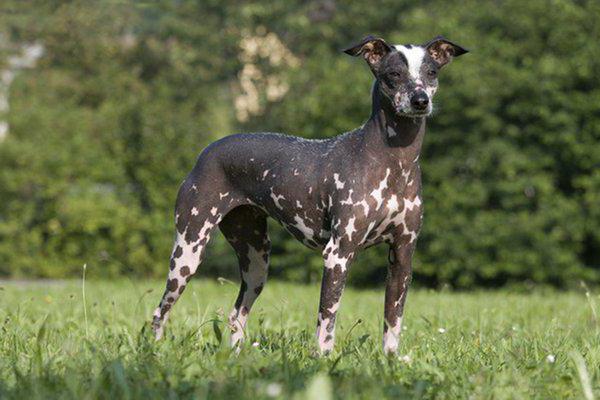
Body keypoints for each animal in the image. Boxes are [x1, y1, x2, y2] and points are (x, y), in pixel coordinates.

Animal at [151, 33, 468, 354]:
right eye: (394, 74)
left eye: (431, 72)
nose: (420, 100)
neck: (393, 162)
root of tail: (207, 151)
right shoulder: (338, 255)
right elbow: (326, 322)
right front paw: (324, 358)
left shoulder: (402, 257)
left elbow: (393, 323)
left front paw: (391, 360)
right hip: (188, 251)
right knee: (160, 310)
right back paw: (154, 350)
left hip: (256, 261)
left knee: (236, 314)